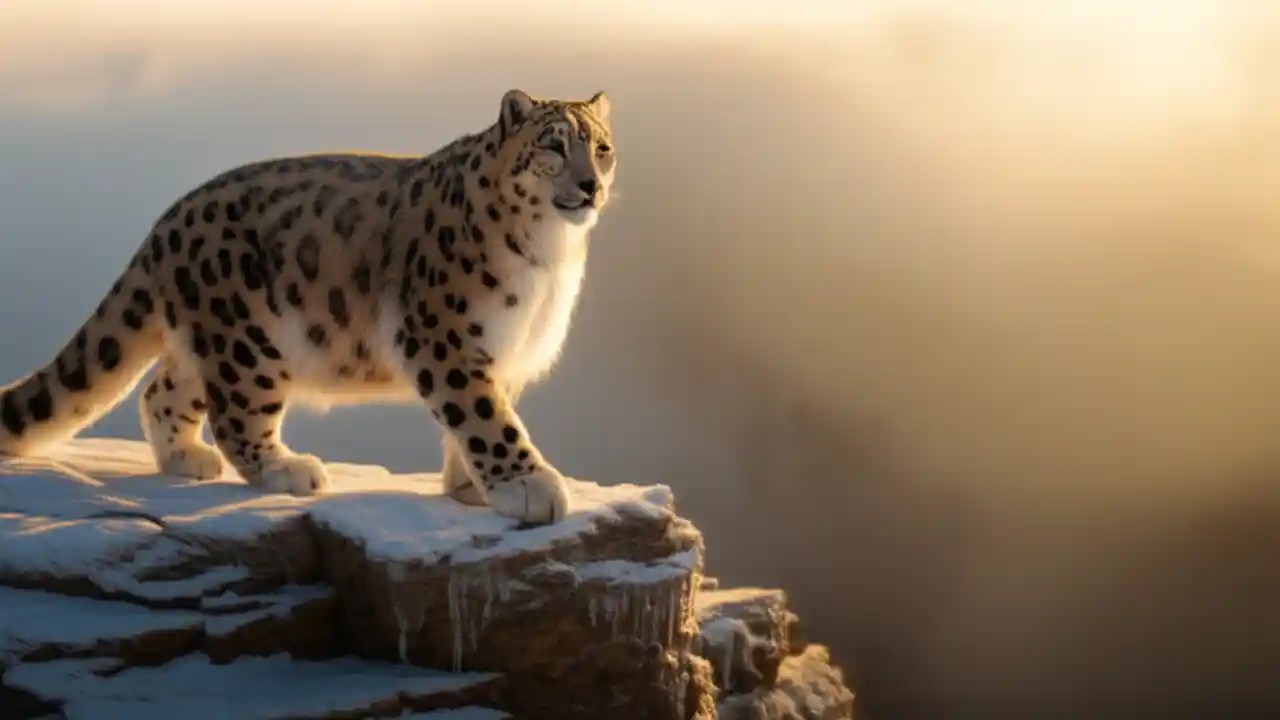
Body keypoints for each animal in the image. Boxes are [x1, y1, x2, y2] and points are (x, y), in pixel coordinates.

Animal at [0, 89, 616, 525]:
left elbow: (481, 414)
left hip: (211, 338)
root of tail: (166, 223)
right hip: (249, 341)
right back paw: (287, 470)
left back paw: (186, 459)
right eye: (553, 144)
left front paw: (469, 486)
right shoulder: (445, 337)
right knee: (237, 414)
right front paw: (528, 487)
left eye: (602, 148)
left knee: (162, 391)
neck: (550, 254)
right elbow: (484, 414)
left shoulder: (504, 349)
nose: (590, 185)